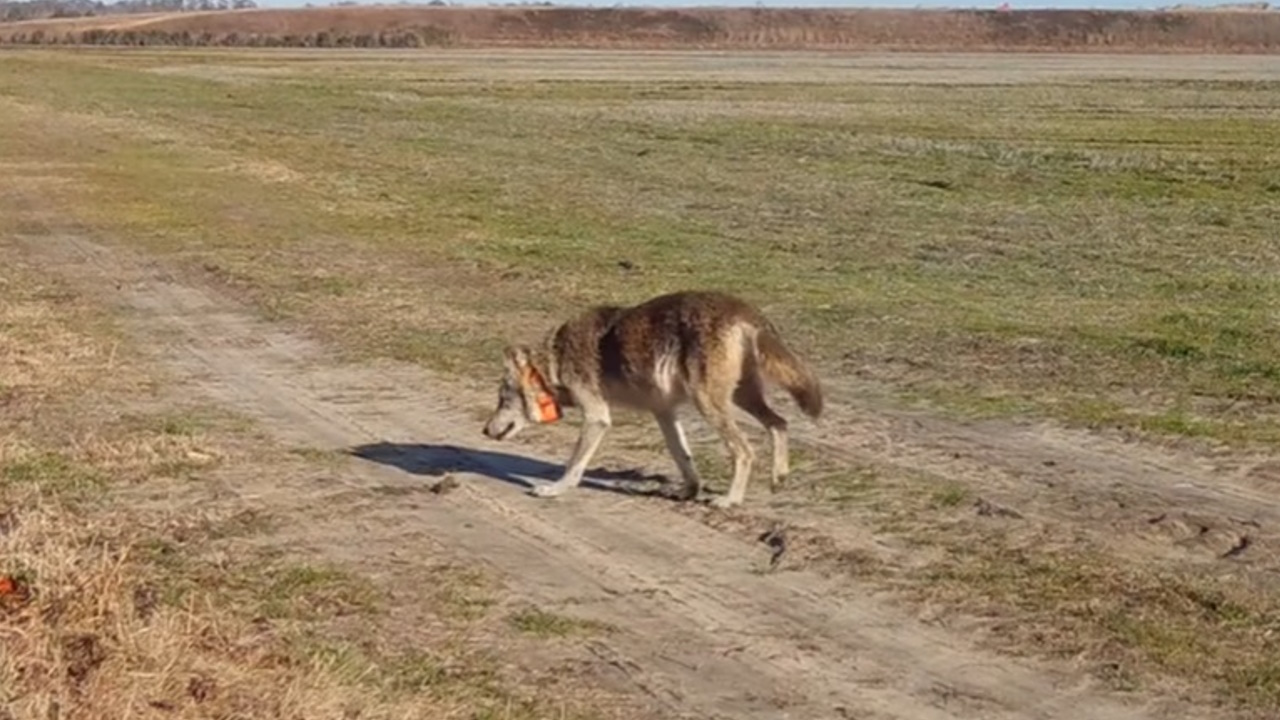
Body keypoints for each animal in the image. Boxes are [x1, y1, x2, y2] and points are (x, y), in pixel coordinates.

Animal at [481, 290, 823, 508]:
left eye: (501, 399)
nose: (484, 430)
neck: (554, 360)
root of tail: (744, 310)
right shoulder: (664, 413)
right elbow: (683, 457)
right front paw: (689, 491)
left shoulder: (597, 417)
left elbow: (574, 465)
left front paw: (554, 490)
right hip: (742, 397)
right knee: (780, 423)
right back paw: (779, 477)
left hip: (711, 403)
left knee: (745, 451)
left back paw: (730, 500)